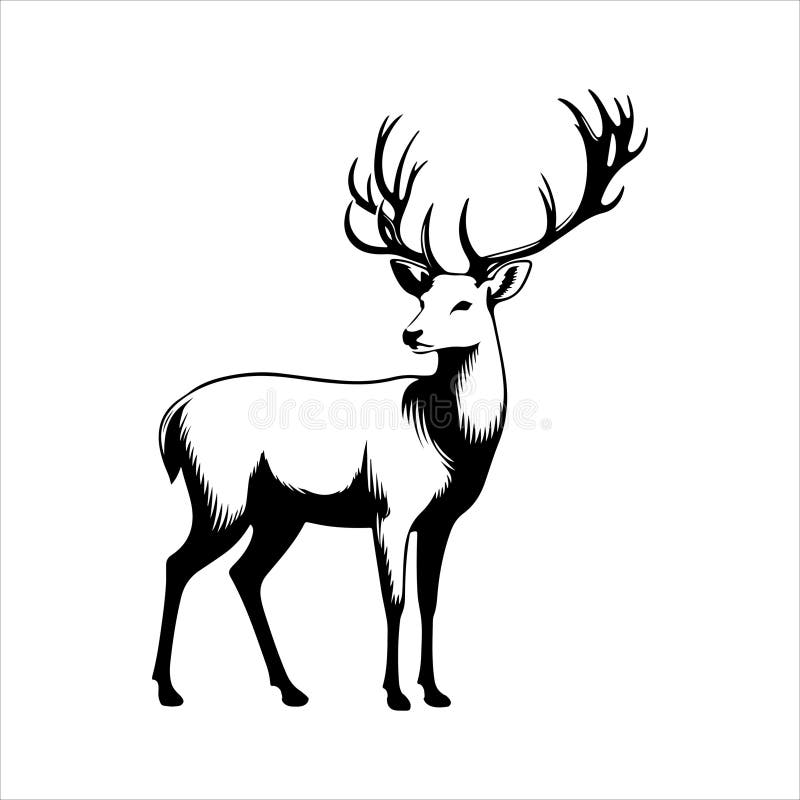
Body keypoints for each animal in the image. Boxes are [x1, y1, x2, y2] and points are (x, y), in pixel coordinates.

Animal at [153, 92, 647, 710]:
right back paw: (169, 688)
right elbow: (394, 599)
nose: (411, 334)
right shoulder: (390, 507)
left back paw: (290, 688)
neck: (451, 442)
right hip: (221, 493)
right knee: (178, 563)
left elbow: (431, 599)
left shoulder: (441, 518)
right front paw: (393, 693)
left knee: (244, 575)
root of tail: (170, 419)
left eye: (464, 302)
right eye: (422, 296)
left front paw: (434, 689)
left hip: (278, 510)